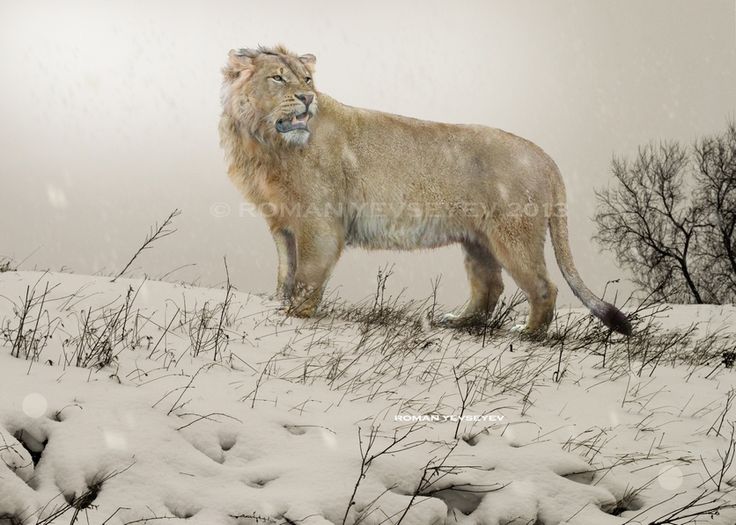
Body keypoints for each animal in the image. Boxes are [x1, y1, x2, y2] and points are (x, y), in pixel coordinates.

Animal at [219, 45, 632, 336]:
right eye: (278, 79)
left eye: (307, 80)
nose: (308, 99)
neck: (265, 144)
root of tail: (545, 156)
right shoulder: (282, 224)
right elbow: (285, 272)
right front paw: (279, 305)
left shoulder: (319, 223)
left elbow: (307, 274)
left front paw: (297, 315)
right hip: (478, 239)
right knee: (490, 286)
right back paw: (459, 321)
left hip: (514, 235)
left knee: (544, 287)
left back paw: (529, 333)